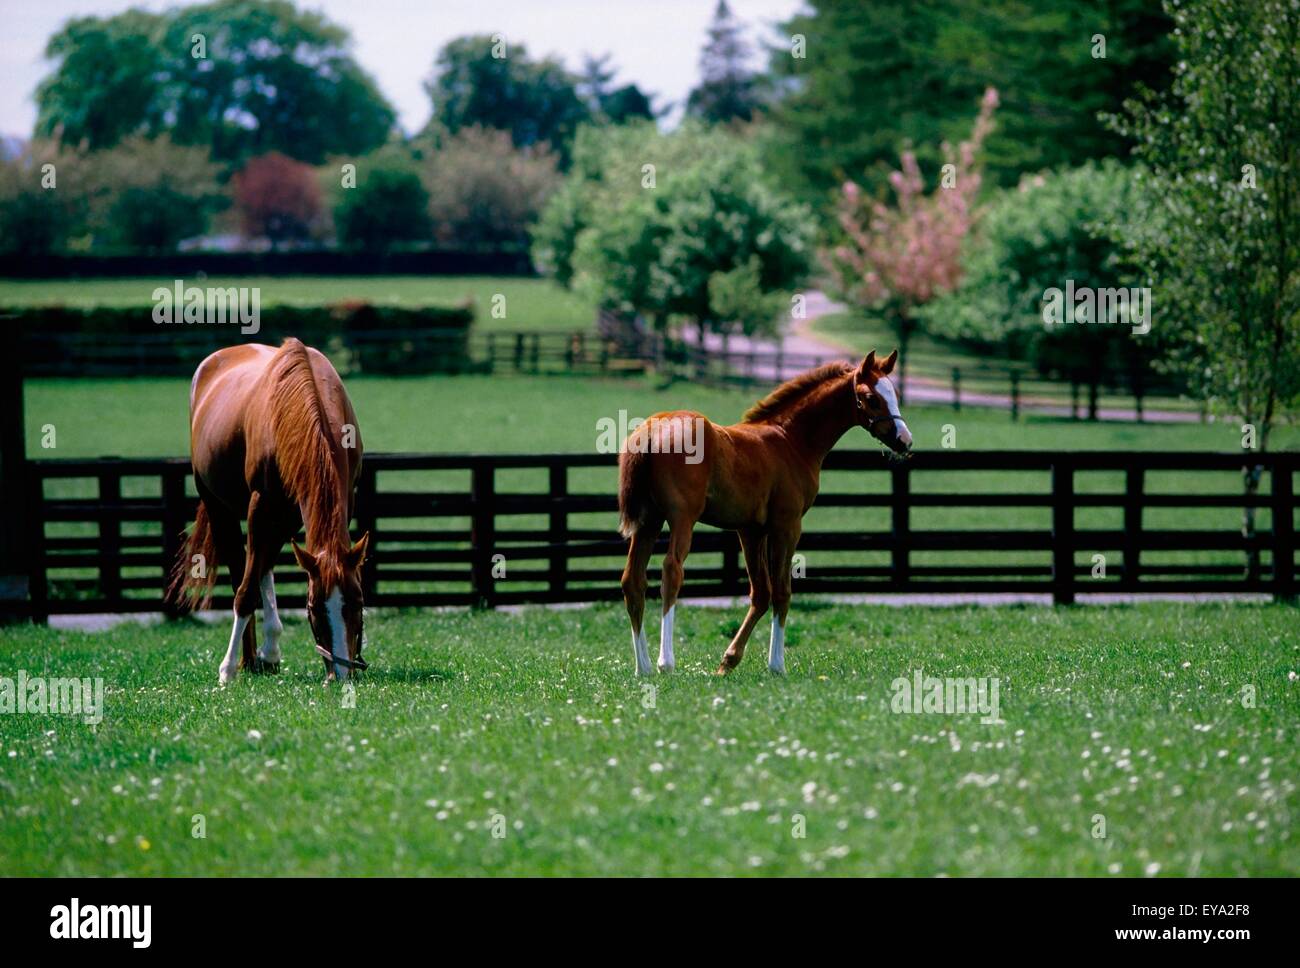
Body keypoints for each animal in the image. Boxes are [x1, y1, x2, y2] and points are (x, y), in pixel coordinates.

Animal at [167, 337, 370, 685]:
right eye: (312, 607)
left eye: (356, 602)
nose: (341, 675)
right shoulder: (260, 505)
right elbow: (246, 591)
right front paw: (227, 669)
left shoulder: (336, 500)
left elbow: (263, 569)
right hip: (220, 507)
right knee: (242, 572)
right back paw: (246, 659)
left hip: (285, 515)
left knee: (262, 565)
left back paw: (270, 651)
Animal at [617, 350, 911, 677]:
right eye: (871, 398)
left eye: (895, 395)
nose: (905, 440)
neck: (790, 440)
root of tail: (652, 428)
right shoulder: (787, 526)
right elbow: (782, 591)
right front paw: (777, 665)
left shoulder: (751, 530)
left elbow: (761, 593)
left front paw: (728, 662)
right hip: (682, 518)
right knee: (671, 571)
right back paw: (665, 661)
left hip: (648, 521)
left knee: (633, 580)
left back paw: (643, 667)